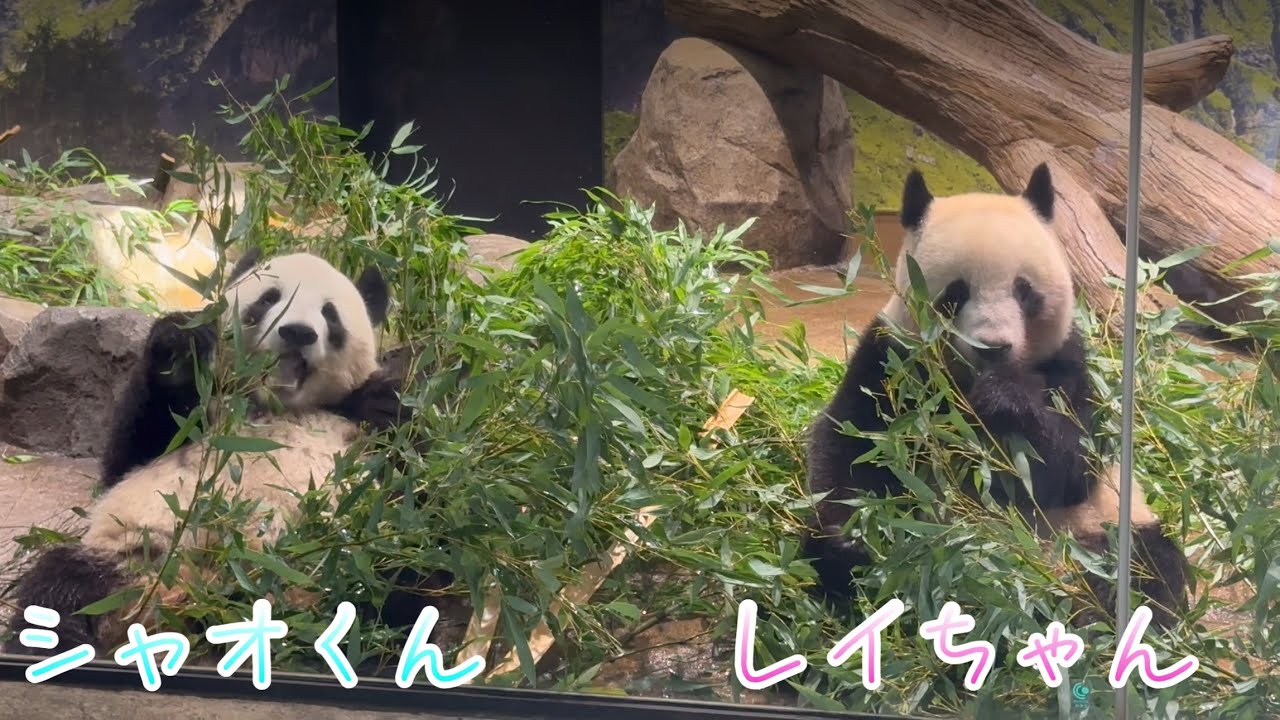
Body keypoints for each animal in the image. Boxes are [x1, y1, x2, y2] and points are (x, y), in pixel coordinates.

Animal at [2, 248, 416, 655]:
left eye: (329, 313)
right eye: (269, 299)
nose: (298, 332)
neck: (276, 406)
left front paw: (383, 402)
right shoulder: (198, 418)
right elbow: (130, 453)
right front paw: (180, 349)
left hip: (346, 562)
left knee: (391, 586)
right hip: (138, 560)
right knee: (60, 589)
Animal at [803, 164, 1189, 630]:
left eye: (1024, 290)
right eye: (956, 292)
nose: (993, 347)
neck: (966, 384)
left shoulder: (1066, 360)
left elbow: (1074, 464)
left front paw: (1006, 398)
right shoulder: (893, 359)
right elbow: (853, 441)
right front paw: (854, 539)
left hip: (1103, 524)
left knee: (1146, 567)